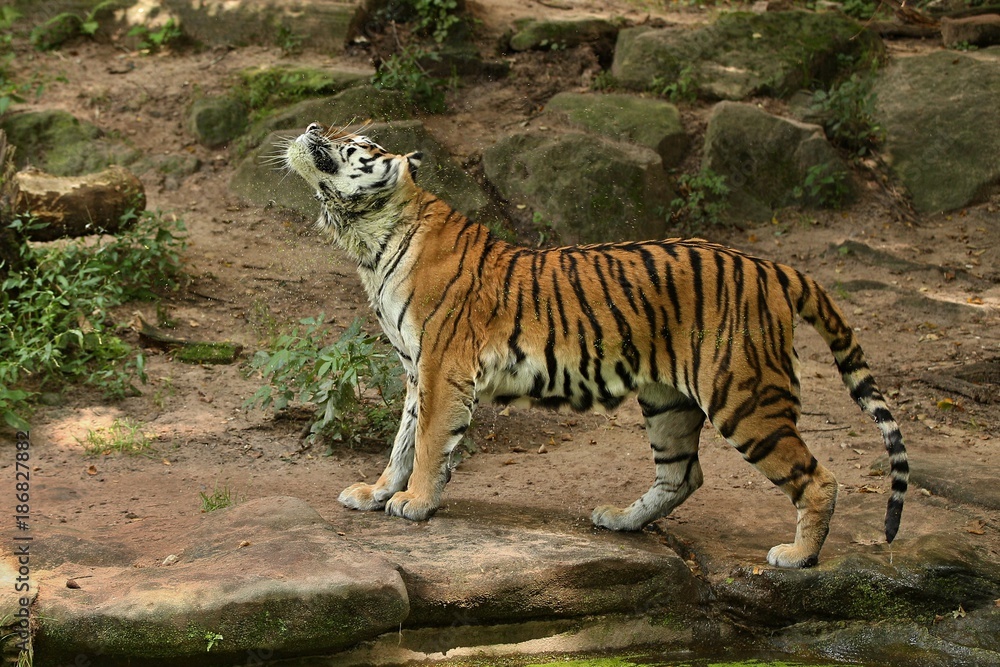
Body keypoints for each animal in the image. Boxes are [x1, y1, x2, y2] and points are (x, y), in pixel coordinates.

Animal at [283, 121, 909, 568]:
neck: (367, 234)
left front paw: (414, 502)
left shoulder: (442, 365)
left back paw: (798, 556)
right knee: (682, 475)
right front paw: (376, 491)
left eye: (352, 141)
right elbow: (403, 439)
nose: (310, 125)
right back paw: (621, 520)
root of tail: (773, 267)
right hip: (667, 400)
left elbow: (432, 439)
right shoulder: (417, 368)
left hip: (744, 397)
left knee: (817, 478)